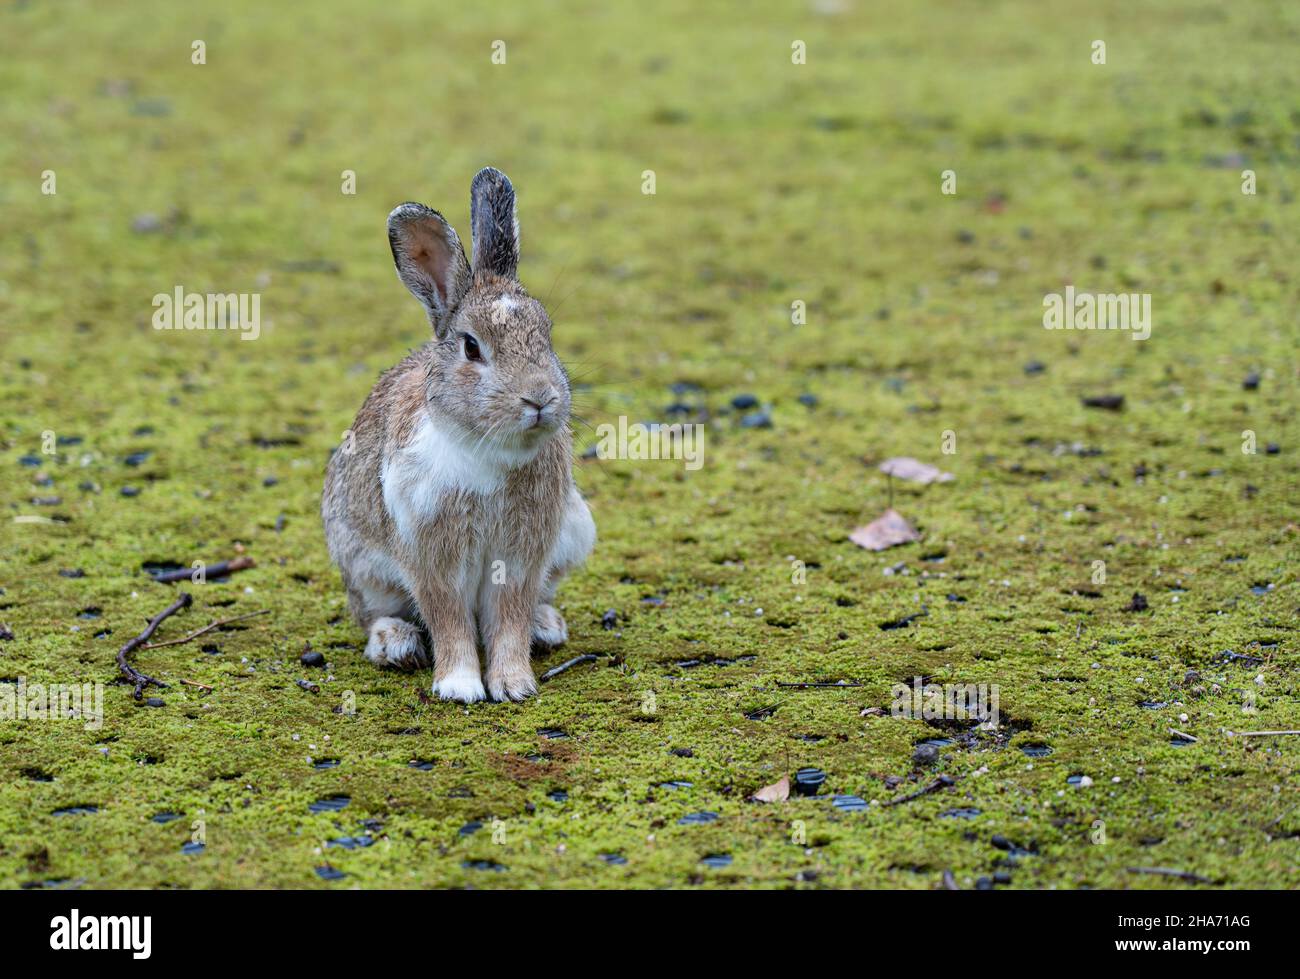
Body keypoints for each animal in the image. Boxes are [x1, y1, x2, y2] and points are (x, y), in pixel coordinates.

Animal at [322, 167, 595, 703]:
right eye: (471, 347)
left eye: (546, 335)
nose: (540, 399)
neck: (488, 450)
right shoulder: (430, 553)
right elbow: (447, 619)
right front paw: (460, 687)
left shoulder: (522, 555)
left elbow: (508, 621)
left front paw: (513, 685)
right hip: (362, 565)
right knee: (374, 613)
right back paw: (394, 643)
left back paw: (545, 627)